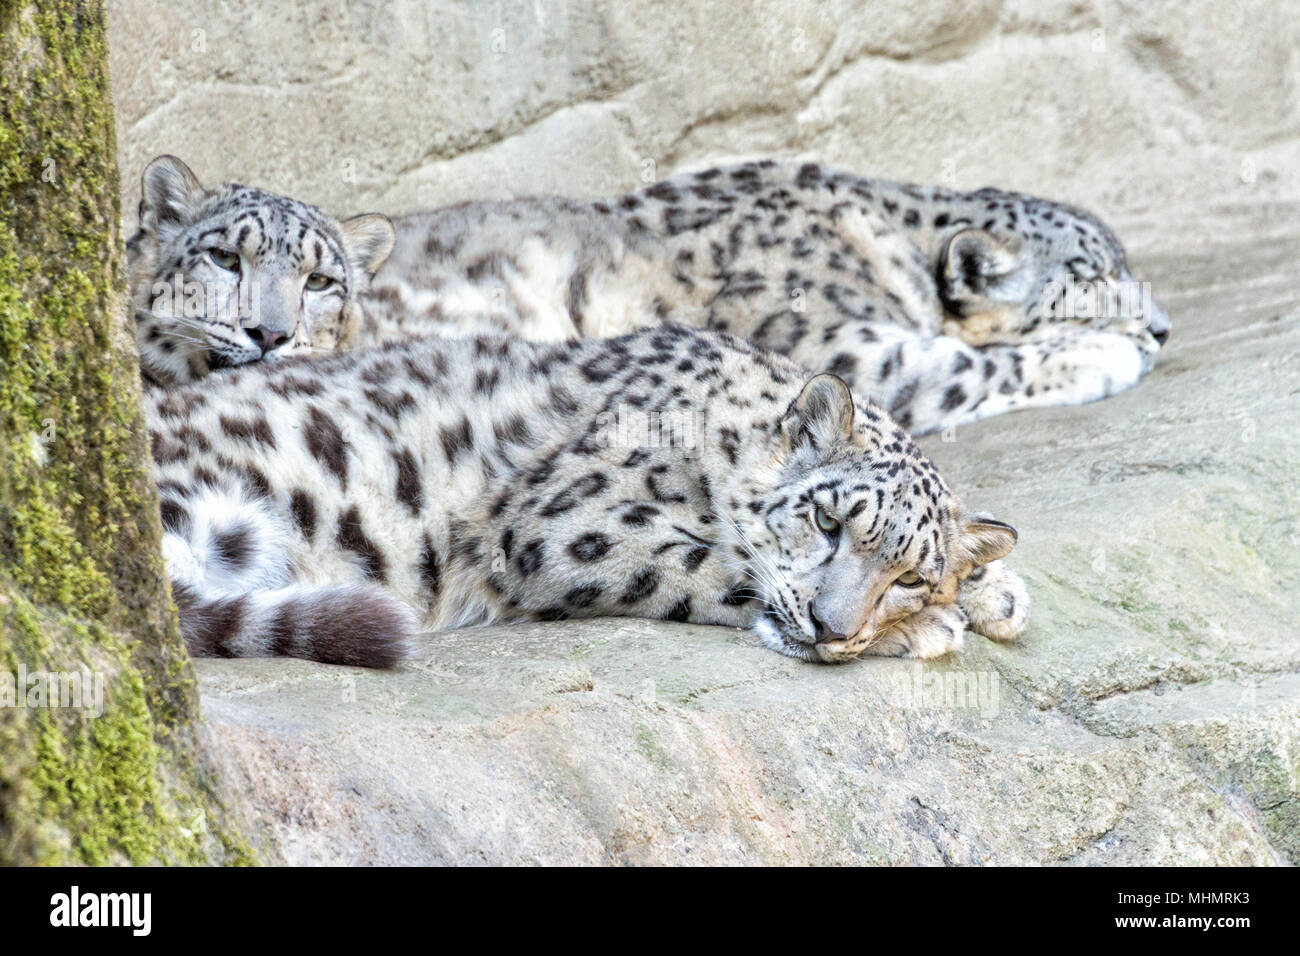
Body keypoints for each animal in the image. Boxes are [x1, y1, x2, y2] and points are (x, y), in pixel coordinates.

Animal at [146, 326, 1029, 668]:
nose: (832, 627)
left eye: (909, 573)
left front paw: (993, 591)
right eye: (827, 518)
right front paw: (929, 630)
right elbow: (713, 564)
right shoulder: (571, 521)